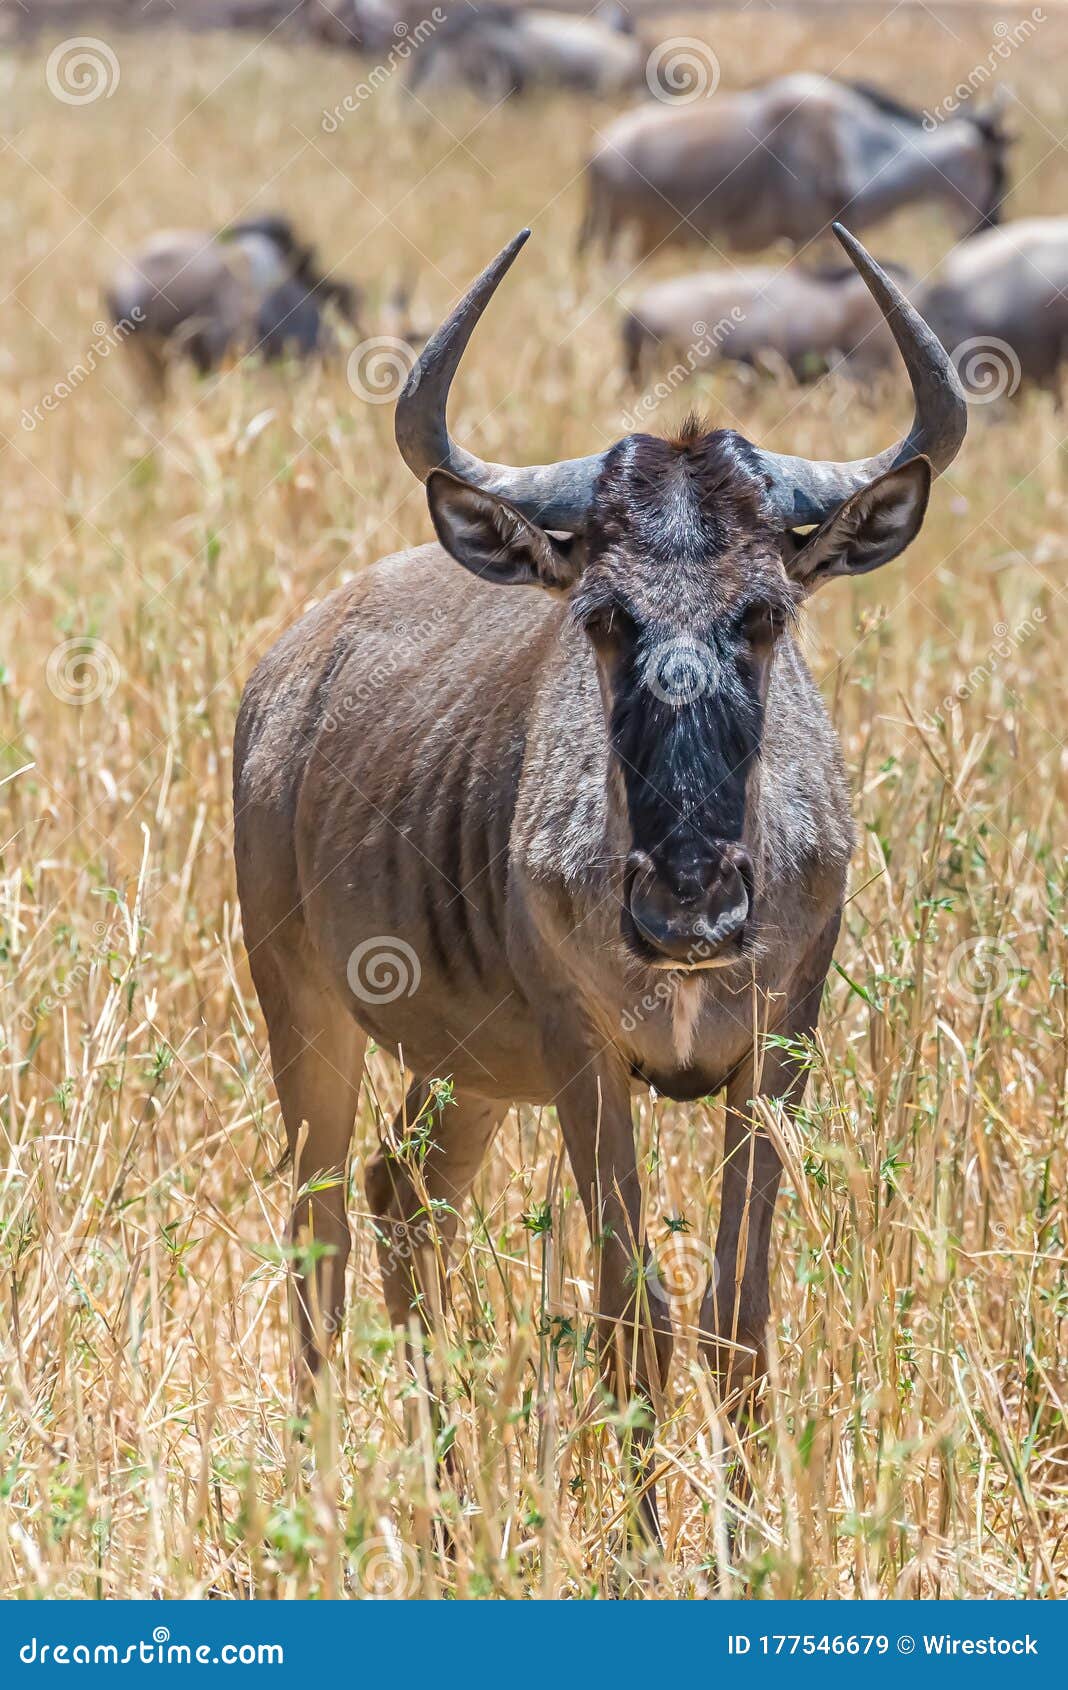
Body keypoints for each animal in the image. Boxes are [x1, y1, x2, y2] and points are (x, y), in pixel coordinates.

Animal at [233, 223, 966, 1530]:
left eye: (765, 612)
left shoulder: (781, 1037)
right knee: (319, 1228)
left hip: (467, 1070)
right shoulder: (586, 1052)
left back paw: (448, 1506)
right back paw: (327, 1503)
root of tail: (287, 672)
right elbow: (635, 1313)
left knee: (405, 1197)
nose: (690, 908)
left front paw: (738, 1537)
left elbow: (735, 1309)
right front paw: (637, 1543)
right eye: (604, 616)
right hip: (306, 1011)